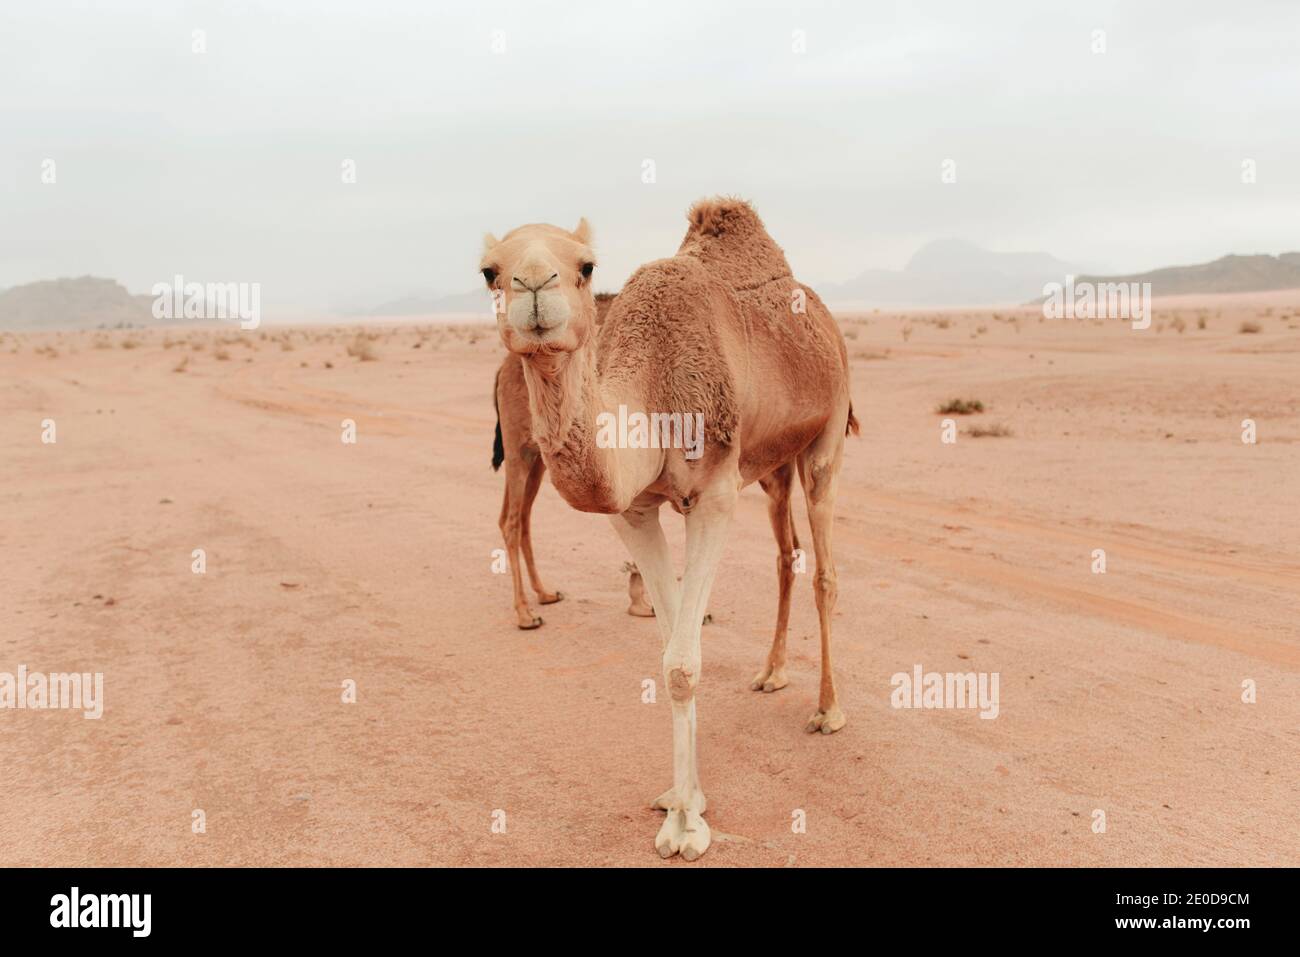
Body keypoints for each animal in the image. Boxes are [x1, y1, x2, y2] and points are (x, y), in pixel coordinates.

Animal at [479, 198, 857, 860]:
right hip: (772, 464)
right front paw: (685, 799)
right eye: (489, 273)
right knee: (786, 555)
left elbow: (683, 662)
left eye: (586, 266)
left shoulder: (713, 497)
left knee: (825, 571)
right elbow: (667, 648)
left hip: (826, 434)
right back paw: (772, 673)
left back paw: (827, 710)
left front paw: (686, 829)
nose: (533, 286)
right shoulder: (635, 509)